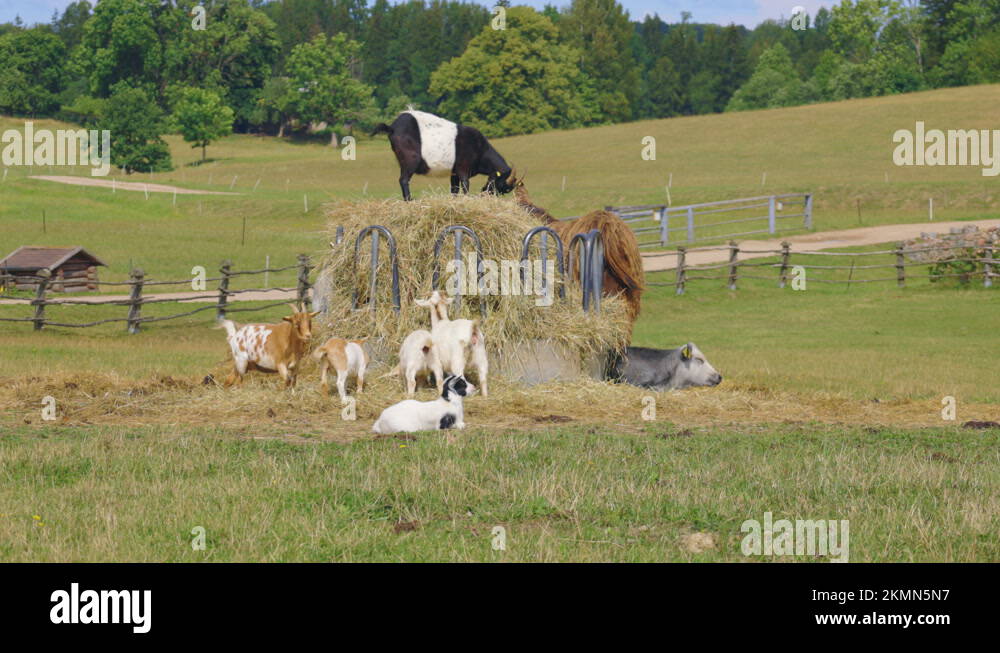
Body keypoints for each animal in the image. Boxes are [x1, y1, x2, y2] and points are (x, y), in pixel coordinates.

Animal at [371, 109, 516, 201]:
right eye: (501, 183)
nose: (487, 194)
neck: (480, 148)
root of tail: (392, 128)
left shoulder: (454, 173)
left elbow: (454, 189)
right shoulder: (463, 168)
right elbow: (465, 185)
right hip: (410, 160)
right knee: (404, 180)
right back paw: (409, 200)